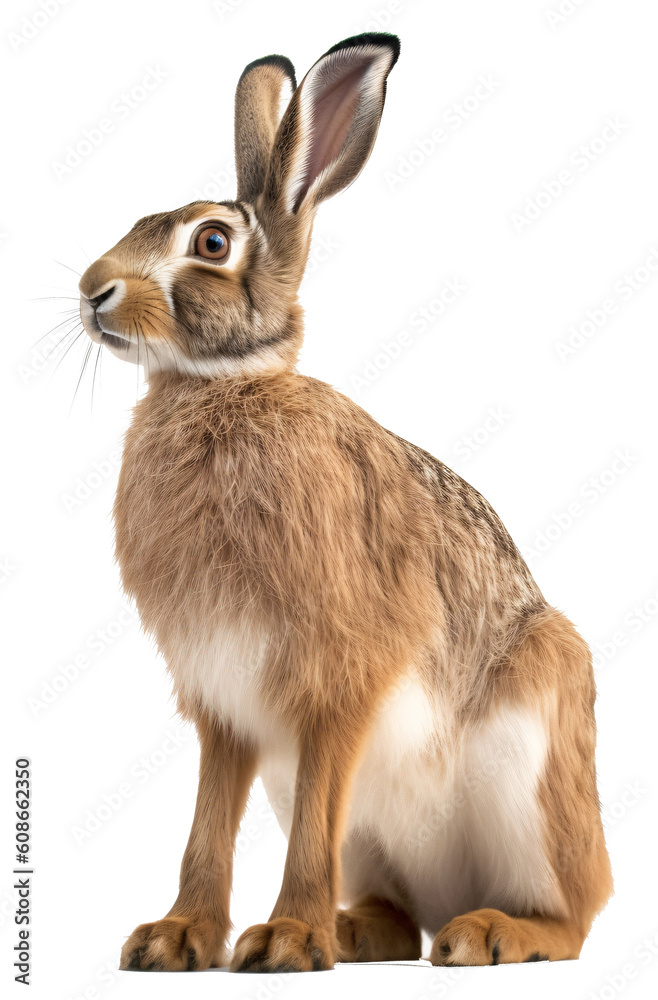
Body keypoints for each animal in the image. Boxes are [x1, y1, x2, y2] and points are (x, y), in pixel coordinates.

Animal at [77, 32, 612, 973]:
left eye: (210, 241)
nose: (90, 289)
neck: (224, 388)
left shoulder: (338, 683)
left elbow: (303, 831)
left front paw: (287, 940)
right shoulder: (225, 707)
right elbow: (205, 827)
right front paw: (176, 939)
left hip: (538, 776)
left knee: (572, 917)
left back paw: (486, 934)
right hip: (364, 831)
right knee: (396, 909)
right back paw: (361, 930)